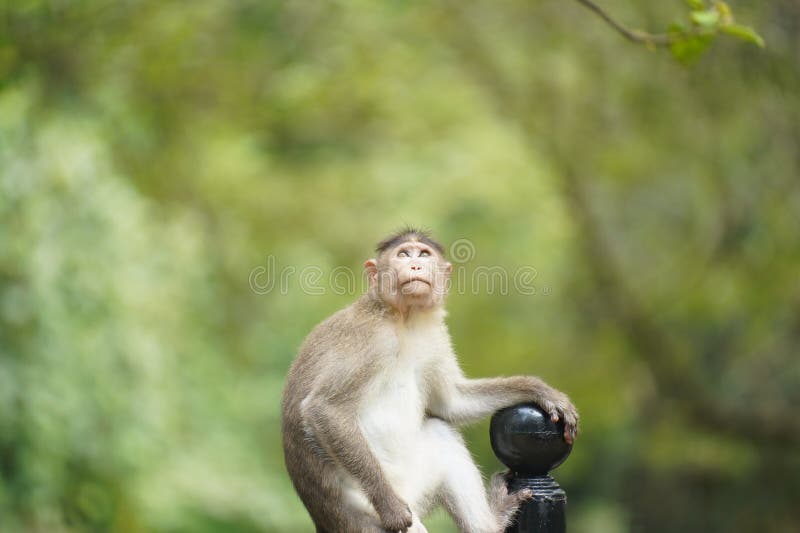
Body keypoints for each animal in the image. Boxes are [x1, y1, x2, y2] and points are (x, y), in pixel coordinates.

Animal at [281, 228, 578, 533]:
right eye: (403, 254)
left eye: (423, 254)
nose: (415, 265)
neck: (404, 319)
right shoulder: (371, 338)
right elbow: (324, 408)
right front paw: (390, 508)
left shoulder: (435, 335)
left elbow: (452, 403)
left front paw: (538, 390)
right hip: (369, 522)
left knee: (440, 431)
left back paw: (492, 523)